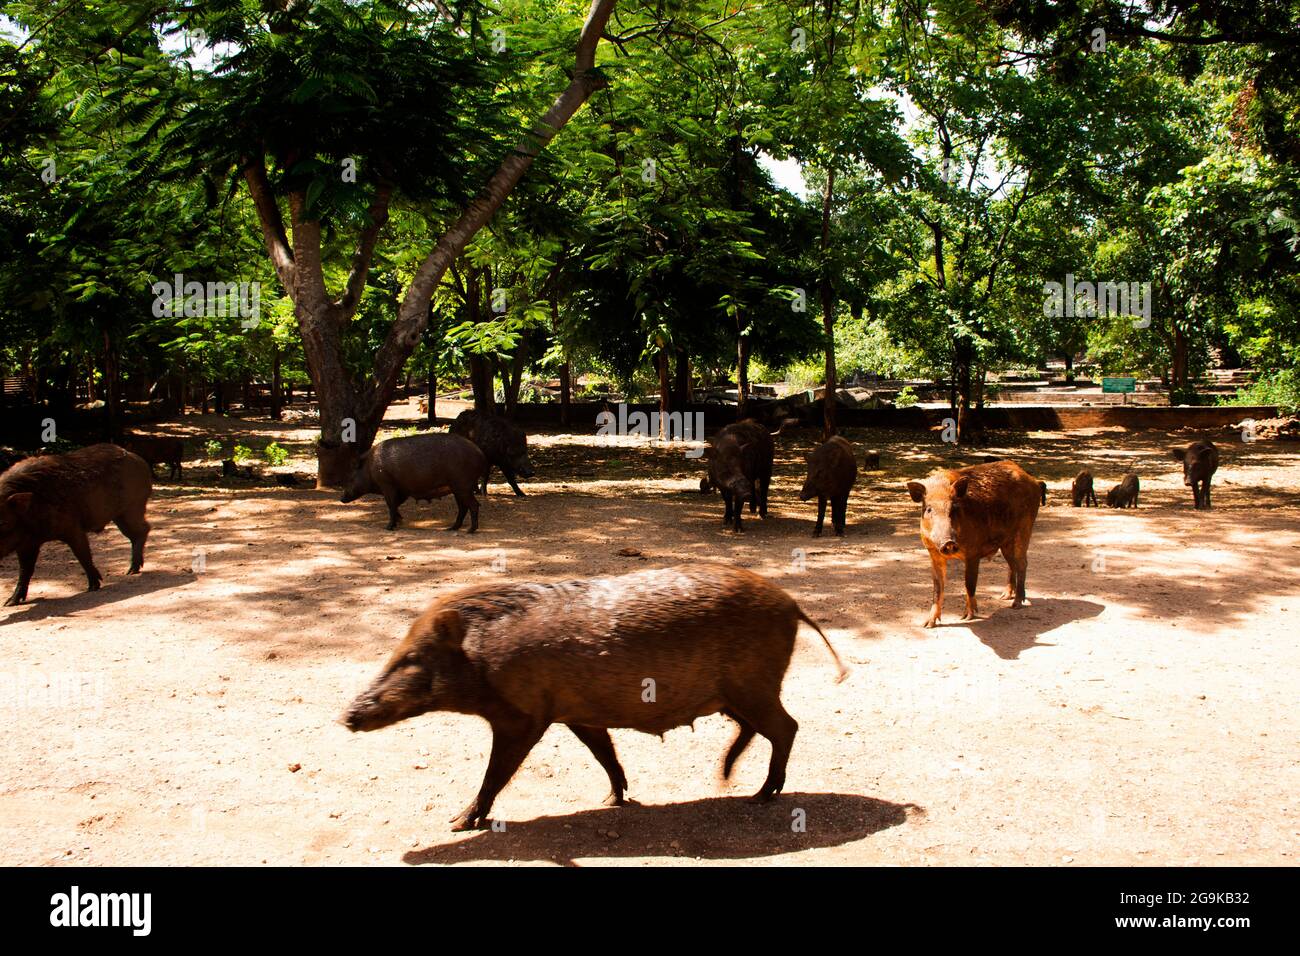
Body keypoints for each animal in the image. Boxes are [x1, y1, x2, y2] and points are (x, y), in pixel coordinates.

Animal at [0, 443, 152, 606]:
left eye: (3, 522)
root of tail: (139, 459)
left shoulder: (73, 528)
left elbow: (82, 554)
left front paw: (92, 587)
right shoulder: (27, 544)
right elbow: (25, 570)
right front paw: (10, 603)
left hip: (131, 509)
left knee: (143, 529)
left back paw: (131, 571)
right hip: (121, 516)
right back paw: (131, 571)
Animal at [340, 433, 486, 532]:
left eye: (350, 478)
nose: (341, 498)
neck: (369, 467)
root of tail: (480, 453)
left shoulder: (387, 484)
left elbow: (390, 505)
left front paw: (388, 527)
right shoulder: (403, 490)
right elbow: (395, 504)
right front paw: (400, 521)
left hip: (463, 484)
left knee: (474, 505)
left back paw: (470, 531)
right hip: (456, 488)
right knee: (463, 507)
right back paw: (451, 528)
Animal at [341, 563, 847, 830]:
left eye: (411, 658)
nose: (347, 715)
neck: (481, 658)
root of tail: (791, 604)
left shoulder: (524, 718)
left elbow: (496, 773)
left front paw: (457, 823)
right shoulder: (576, 715)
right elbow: (604, 752)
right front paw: (614, 800)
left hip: (754, 687)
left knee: (787, 727)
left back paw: (760, 797)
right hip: (734, 696)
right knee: (757, 729)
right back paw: (726, 779)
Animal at [905, 460, 1041, 628]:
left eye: (954, 508)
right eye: (929, 509)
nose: (948, 542)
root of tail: (1032, 479)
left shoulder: (973, 553)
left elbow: (969, 583)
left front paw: (967, 617)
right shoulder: (933, 554)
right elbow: (937, 588)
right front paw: (927, 624)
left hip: (1024, 529)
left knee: (1022, 563)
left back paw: (1016, 604)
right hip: (1006, 541)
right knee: (1012, 564)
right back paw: (1004, 597)